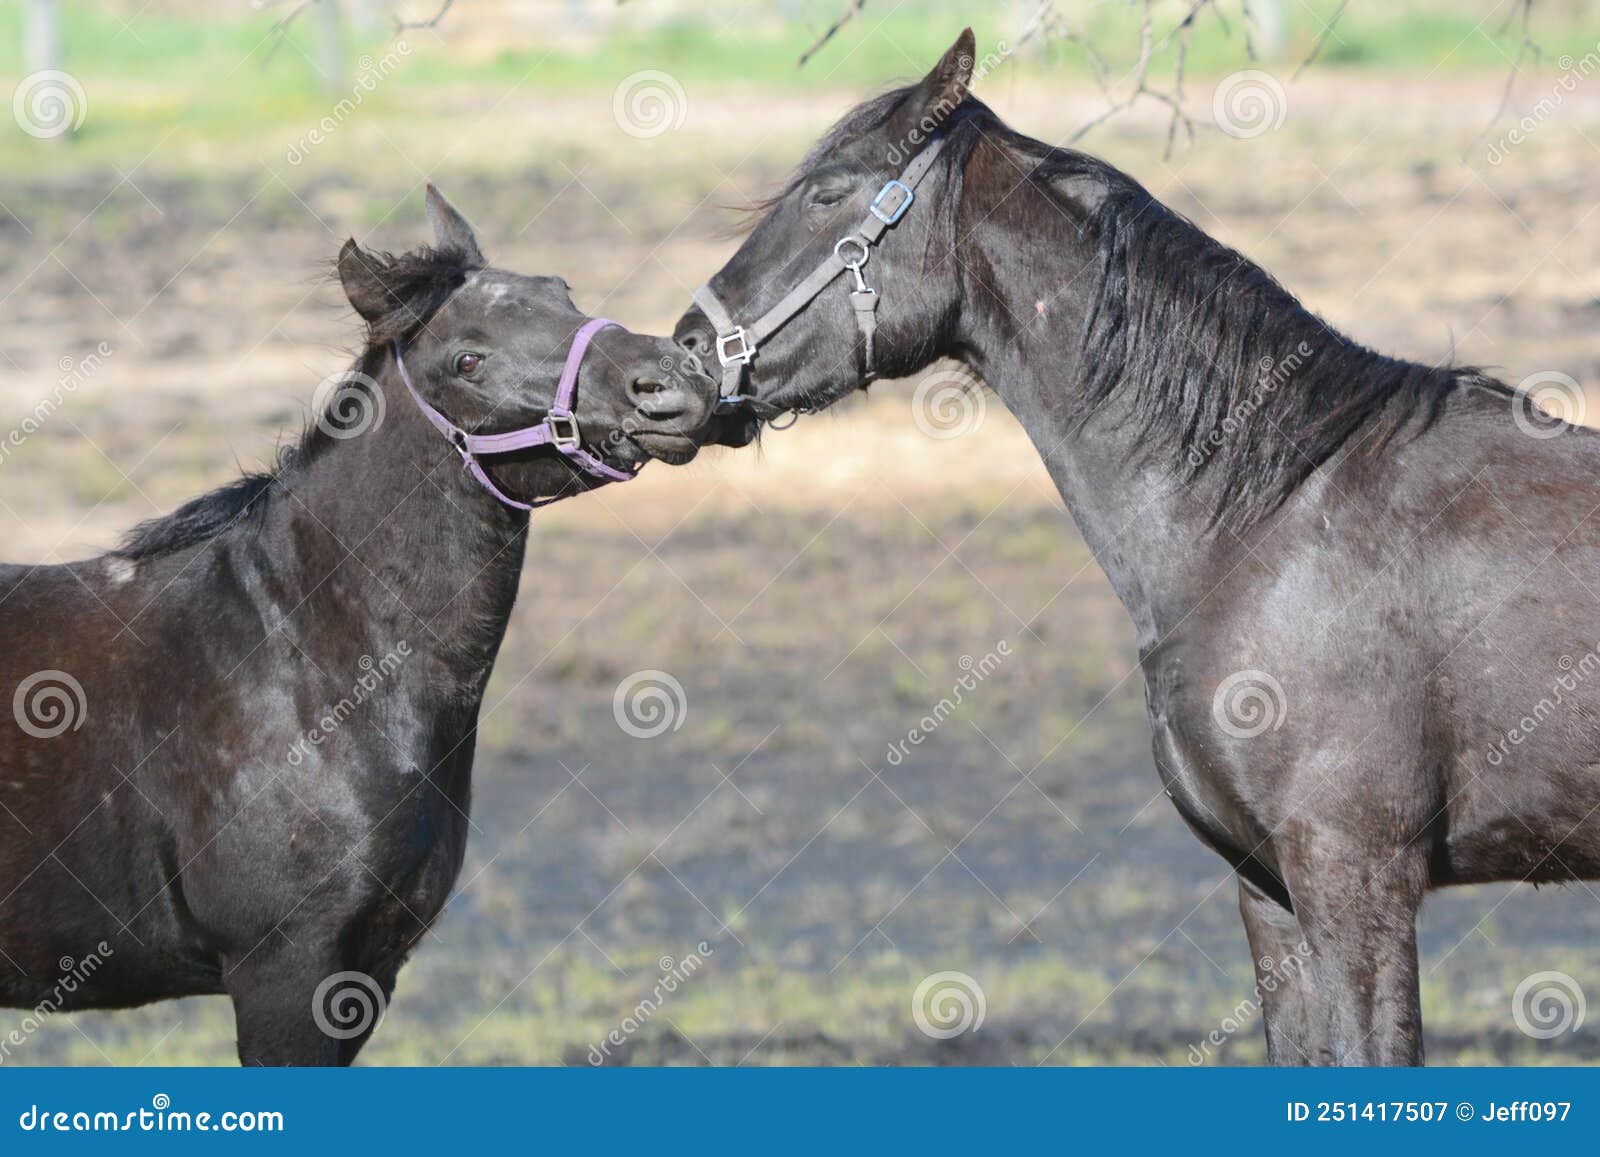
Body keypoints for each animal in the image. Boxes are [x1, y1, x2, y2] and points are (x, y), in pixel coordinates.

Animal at [0, 186, 729, 1065]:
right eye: (467, 360)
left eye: (563, 293)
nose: (674, 380)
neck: (300, 663)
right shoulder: (286, 971)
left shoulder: (365, 971)